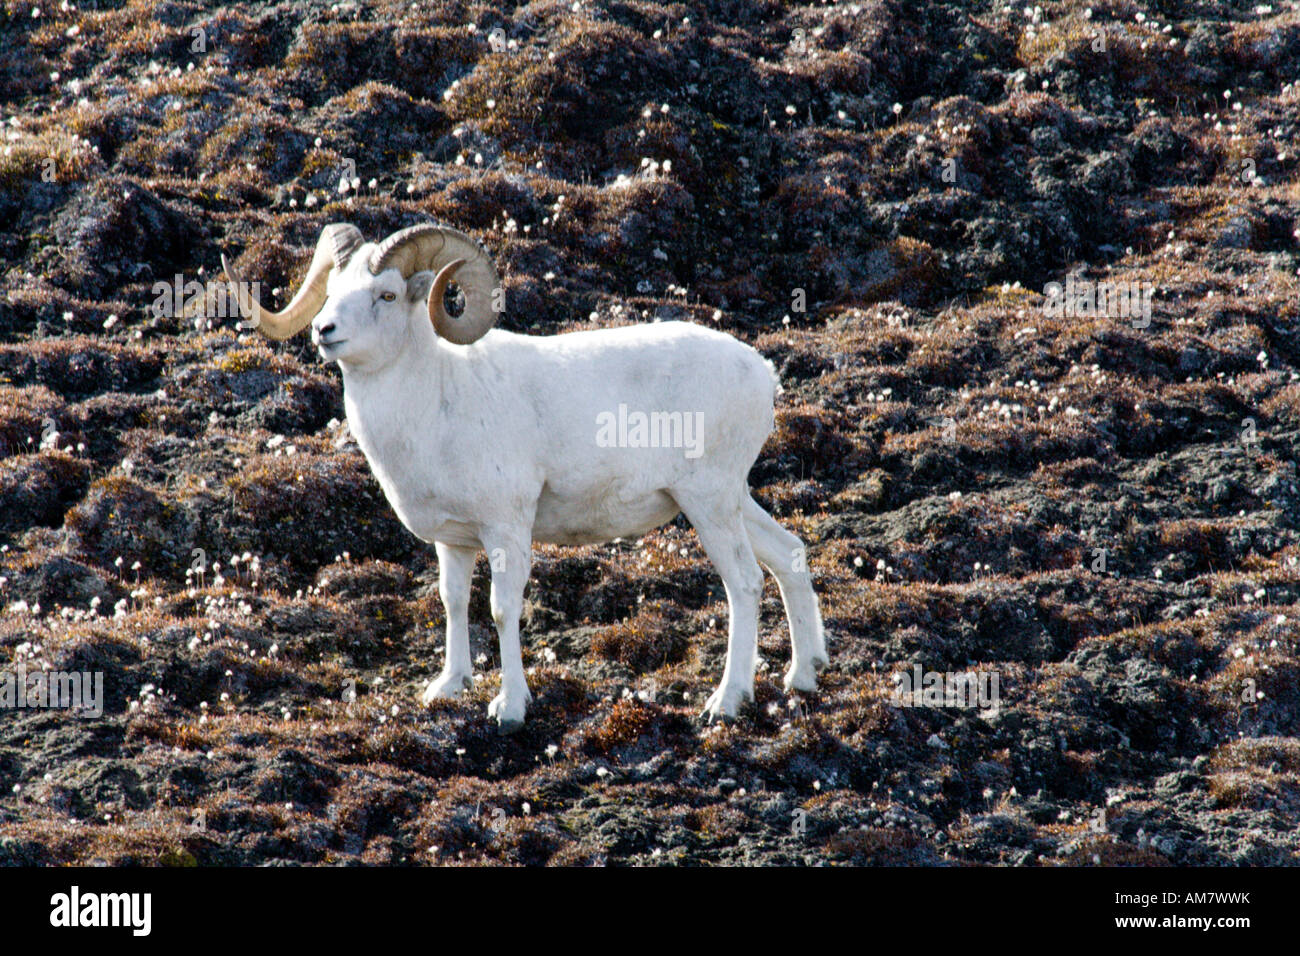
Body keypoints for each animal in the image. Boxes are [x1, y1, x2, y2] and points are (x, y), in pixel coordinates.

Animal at [223, 223, 827, 732]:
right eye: (333, 290)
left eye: (387, 296)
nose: (324, 331)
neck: (436, 402)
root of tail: (760, 373)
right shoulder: (455, 542)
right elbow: (453, 601)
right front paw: (448, 686)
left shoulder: (507, 530)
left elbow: (500, 609)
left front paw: (509, 707)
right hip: (732, 500)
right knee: (789, 555)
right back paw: (803, 677)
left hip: (708, 502)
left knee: (744, 583)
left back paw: (726, 703)